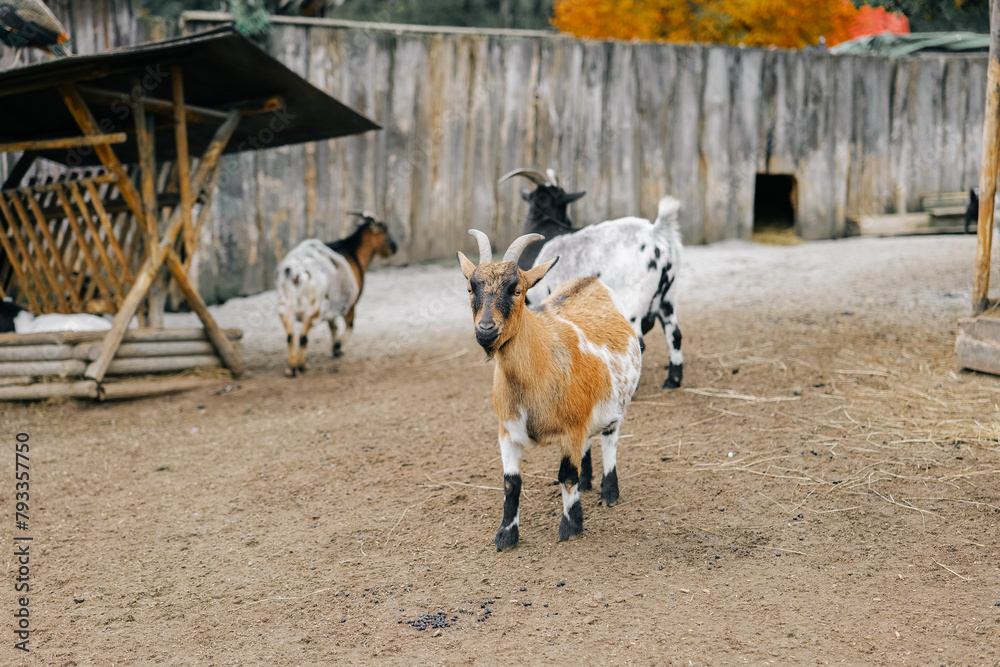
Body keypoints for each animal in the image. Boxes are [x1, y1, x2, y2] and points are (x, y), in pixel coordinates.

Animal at [275, 211, 397, 376]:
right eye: (385, 230)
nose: (395, 247)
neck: (353, 252)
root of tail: (296, 271)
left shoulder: (332, 305)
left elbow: (333, 326)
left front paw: (335, 346)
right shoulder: (350, 303)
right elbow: (350, 325)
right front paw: (338, 347)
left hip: (285, 307)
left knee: (290, 336)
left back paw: (291, 368)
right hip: (313, 308)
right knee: (303, 337)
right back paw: (301, 366)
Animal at [458, 230, 642, 550]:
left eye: (517, 290)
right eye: (471, 288)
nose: (486, 329)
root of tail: (589, 280)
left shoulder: (571, 429)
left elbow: (566, 476)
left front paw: (571, 526)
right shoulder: (507, 430)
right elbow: (511, 483)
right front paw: (506, 535)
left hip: (616, 405)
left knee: (610, 438)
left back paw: (608, 492)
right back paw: (589, 481)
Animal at [527, 196, 684, 389]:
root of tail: (657, 232)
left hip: (634, 300)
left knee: (639, 342)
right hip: (668, 297)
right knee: (674, 334)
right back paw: (672, 380)